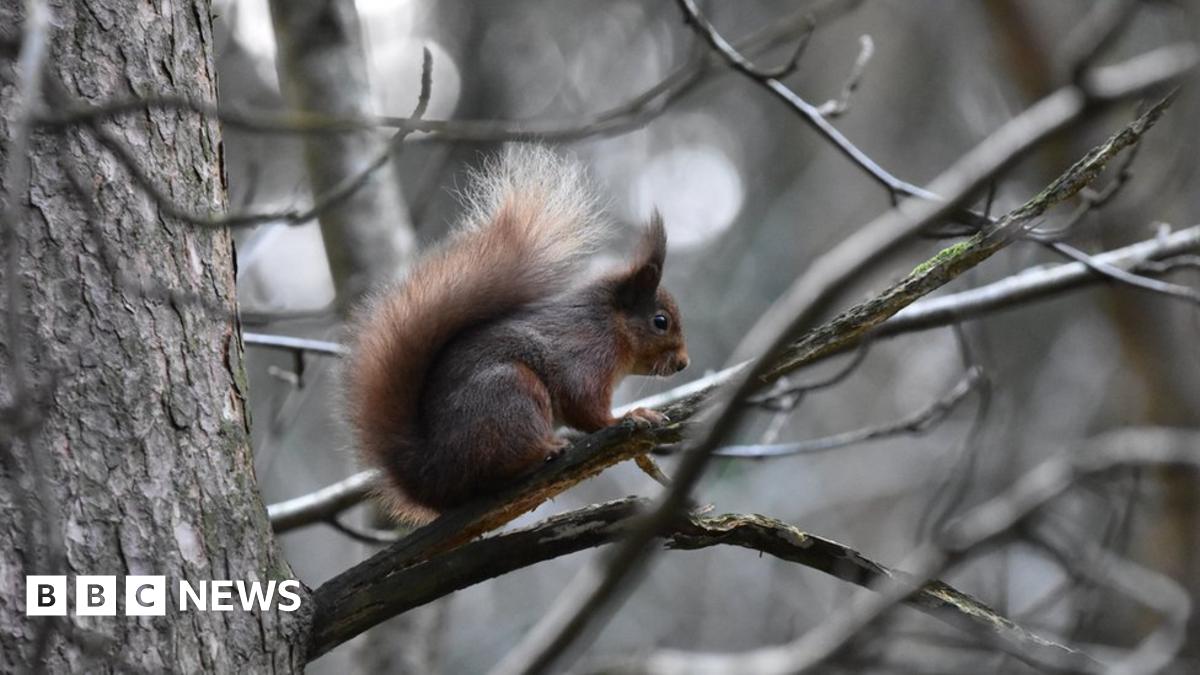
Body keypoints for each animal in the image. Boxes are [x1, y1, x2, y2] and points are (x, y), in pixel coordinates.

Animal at [345, 146, 689, 524]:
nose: (684, 363)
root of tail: (432, 477)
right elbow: (586, 406)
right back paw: (544, 450)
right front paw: (630, 416)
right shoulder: (587, 353)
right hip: (511, 393)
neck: (611, 325)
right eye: (661, 321)